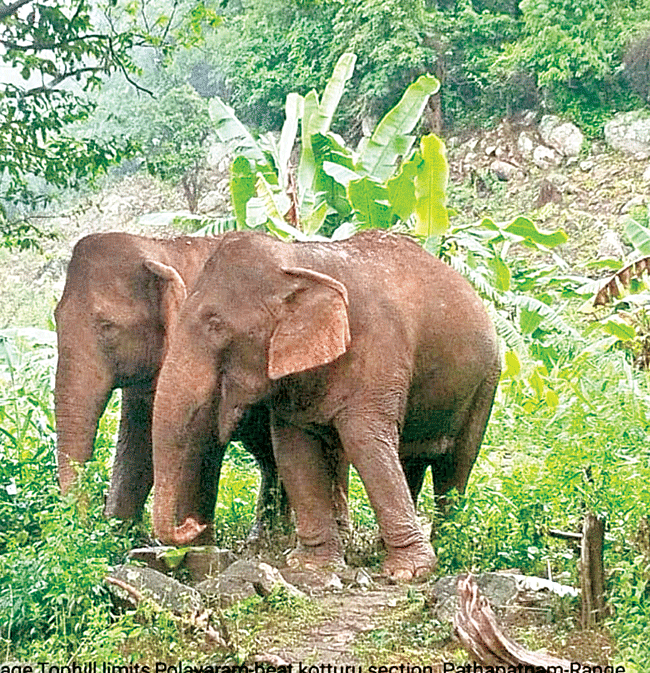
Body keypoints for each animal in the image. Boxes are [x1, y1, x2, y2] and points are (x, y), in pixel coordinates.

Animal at [54, 231, 287, 542]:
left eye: (107, 326)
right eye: (55, 318)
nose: (87, 525)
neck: (162, 248)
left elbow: (197, 445)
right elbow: (138, 443)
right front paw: (120, 538)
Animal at [150, 230, 501, 580]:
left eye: (215, 324)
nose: (191, 526)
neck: (299, 262)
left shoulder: (379, 354)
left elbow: (365, 443)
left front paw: (408, 573)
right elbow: (294, 450)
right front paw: (313, 565)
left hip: (487, 381)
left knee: (455, 464)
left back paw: (447, 542)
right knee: (410, 459)